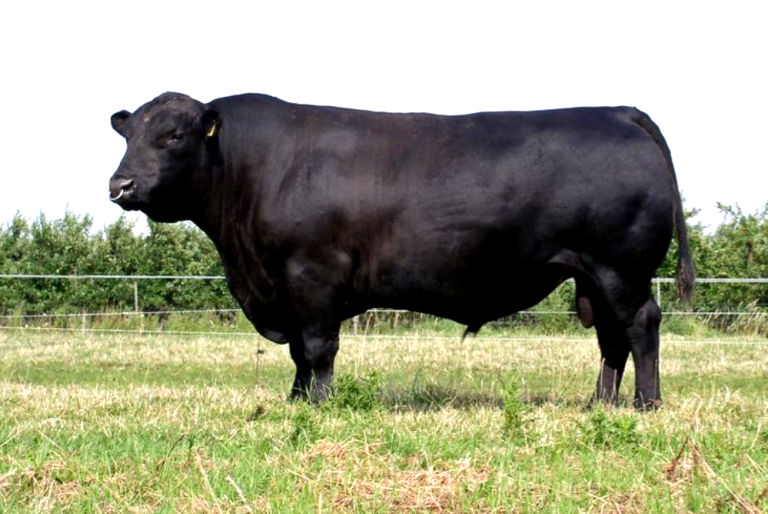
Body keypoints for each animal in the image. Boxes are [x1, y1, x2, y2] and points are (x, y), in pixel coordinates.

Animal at [108, 92, 694, 409]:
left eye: (175, 135)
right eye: (128, 134)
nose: (121, 185)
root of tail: (617, 112)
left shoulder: (312, 274)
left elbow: (317, 347)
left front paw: (319, 404)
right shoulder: (284, 285)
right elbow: (298, 352)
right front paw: (295, 400)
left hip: (621, 268)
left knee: (640, 324)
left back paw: (645, 404)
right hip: (593, 275)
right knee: (610, 337)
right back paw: (600, 403)